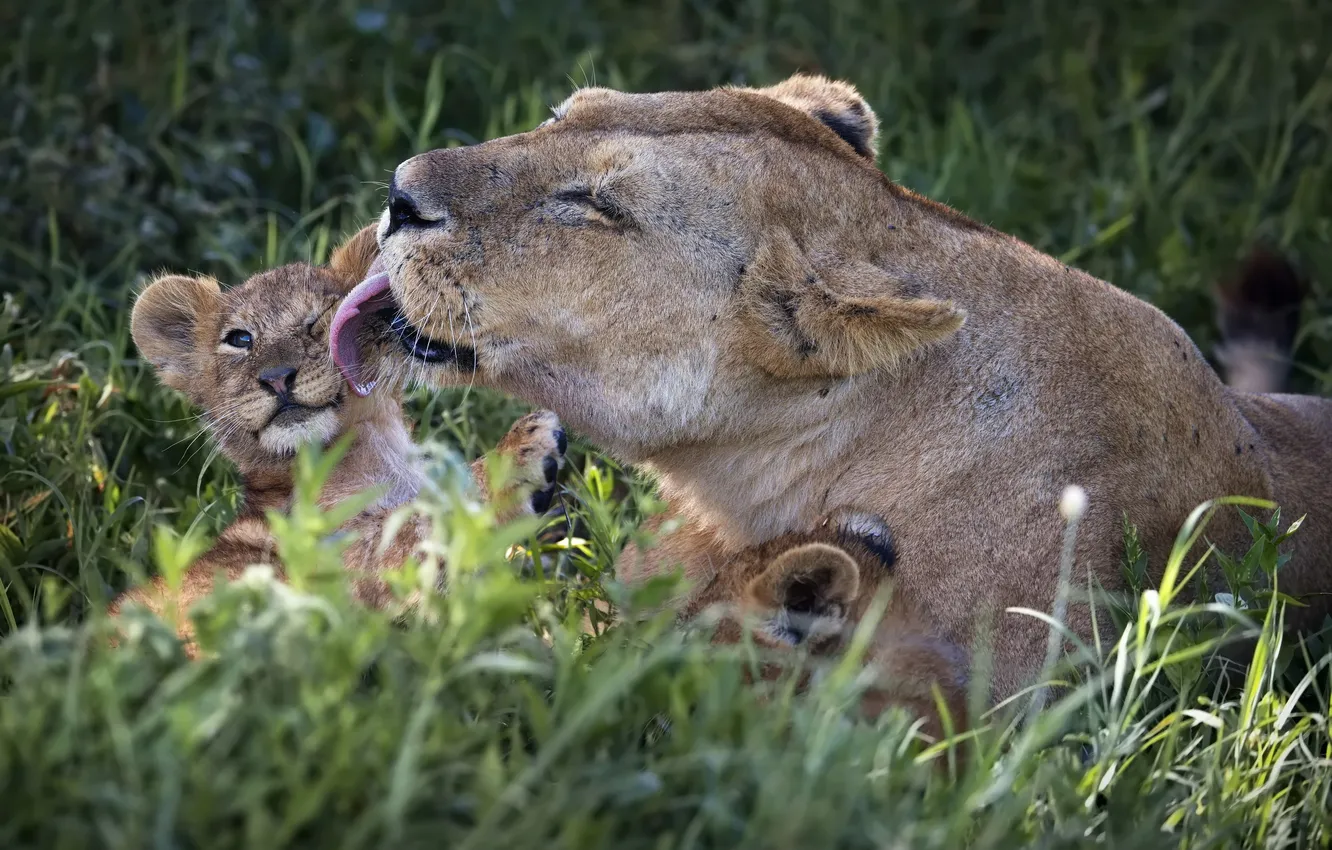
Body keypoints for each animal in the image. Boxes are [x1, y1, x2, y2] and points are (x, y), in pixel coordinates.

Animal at [111, 226, 567, 654]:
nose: (276, 377)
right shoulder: (338, 582)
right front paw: (519, 453)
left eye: (316, 322)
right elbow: (419, 526)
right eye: (239, 339)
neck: (381, 452)